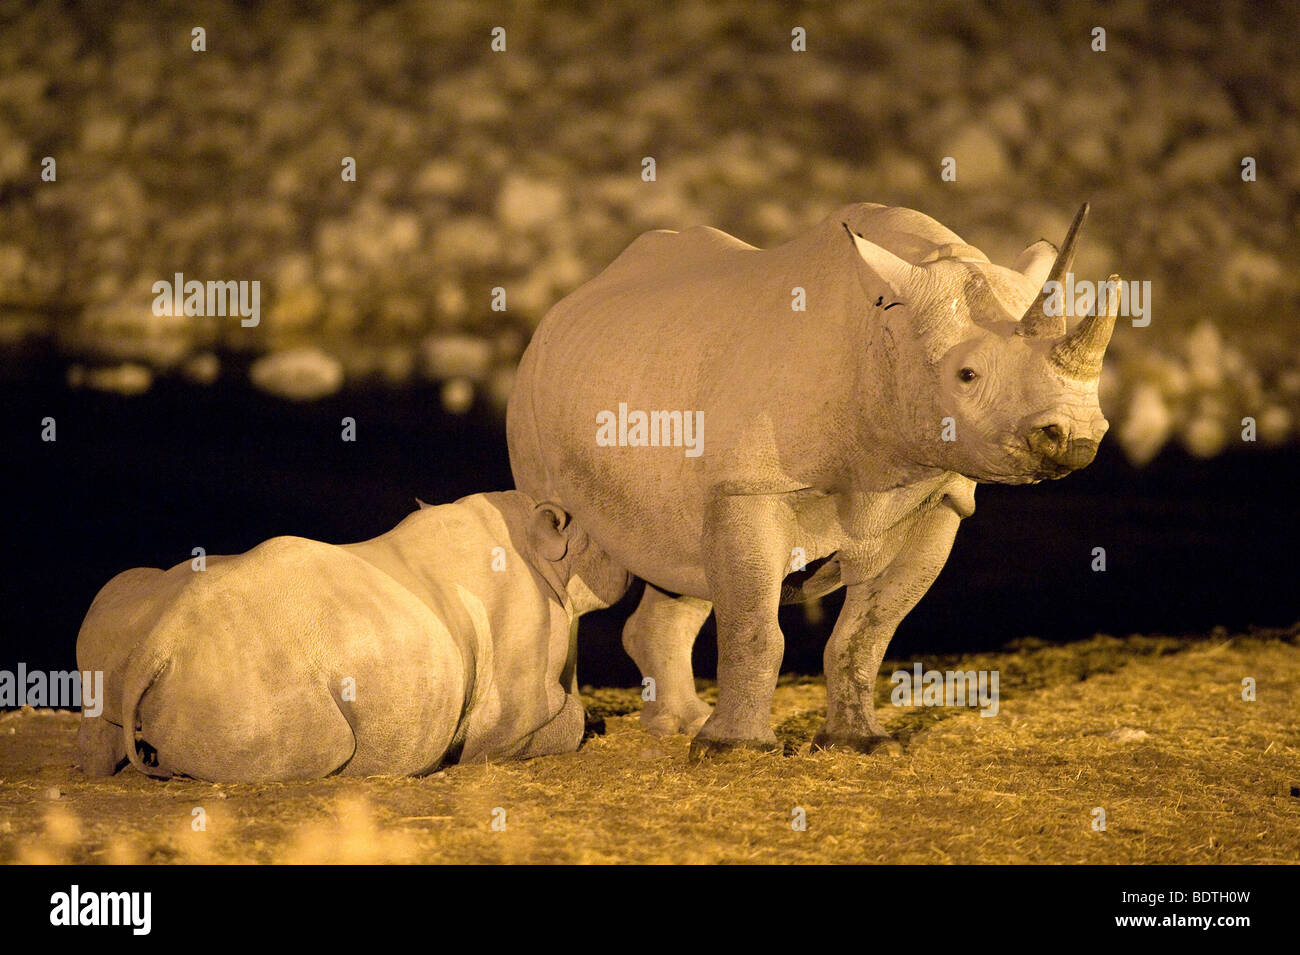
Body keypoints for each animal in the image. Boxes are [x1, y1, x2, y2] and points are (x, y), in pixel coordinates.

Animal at [75, 492, 630, 782]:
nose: (628, 571)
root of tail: (160, 647)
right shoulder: (515, 710)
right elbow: (564, 722)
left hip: (128, 606)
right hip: (239, 677)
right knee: (325, 749)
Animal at [507, 201, 1119, 758]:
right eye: (966, 375)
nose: (1075, 438)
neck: (885, 335)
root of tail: (566, 305)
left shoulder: (939, 498)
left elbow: (865, 636)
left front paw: (861, 743)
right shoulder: (751, 487)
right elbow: (756, 630)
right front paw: (734, 753)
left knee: (680, 561)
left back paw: (679, 725)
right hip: (533, 390)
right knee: (561, 542)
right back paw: (576, 734)